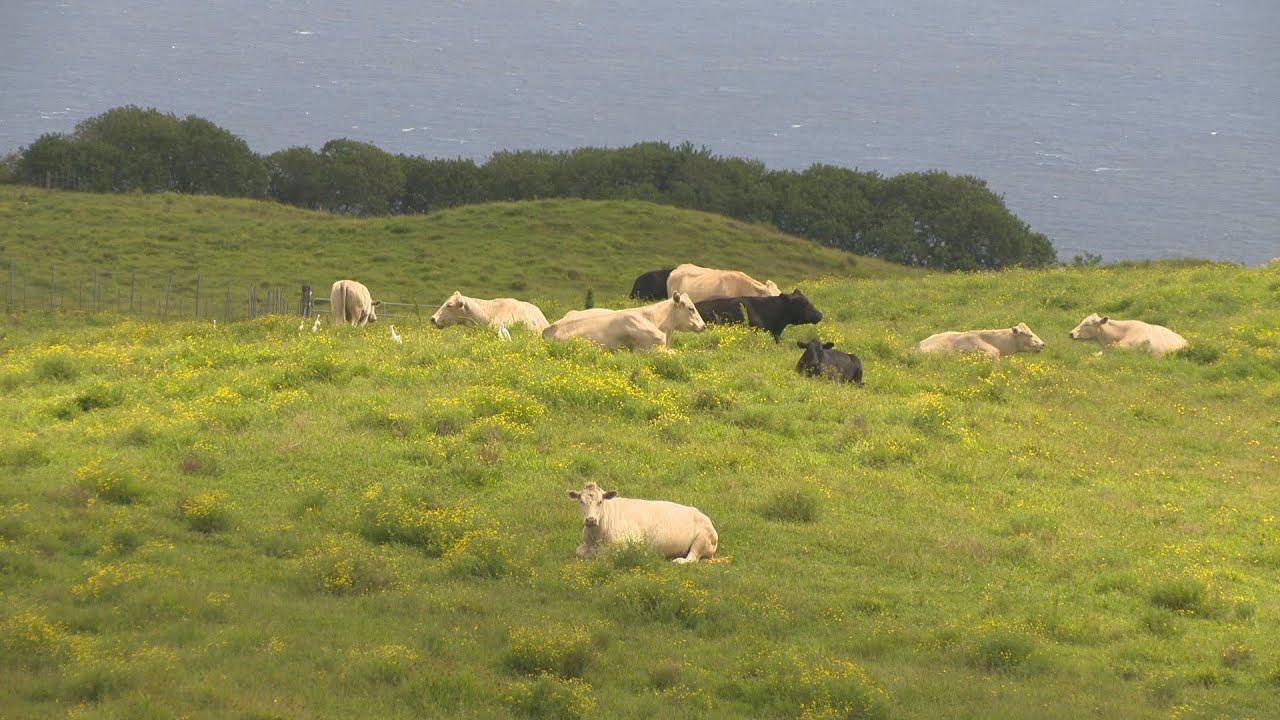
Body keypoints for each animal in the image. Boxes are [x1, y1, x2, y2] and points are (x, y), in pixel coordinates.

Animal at [566, 482, 718, 563]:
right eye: (581, 501)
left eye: (600, 501)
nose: (591, 520)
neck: (597, 537)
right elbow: (579, 551)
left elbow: (606, 555)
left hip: (703, 540)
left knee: (692, 558)